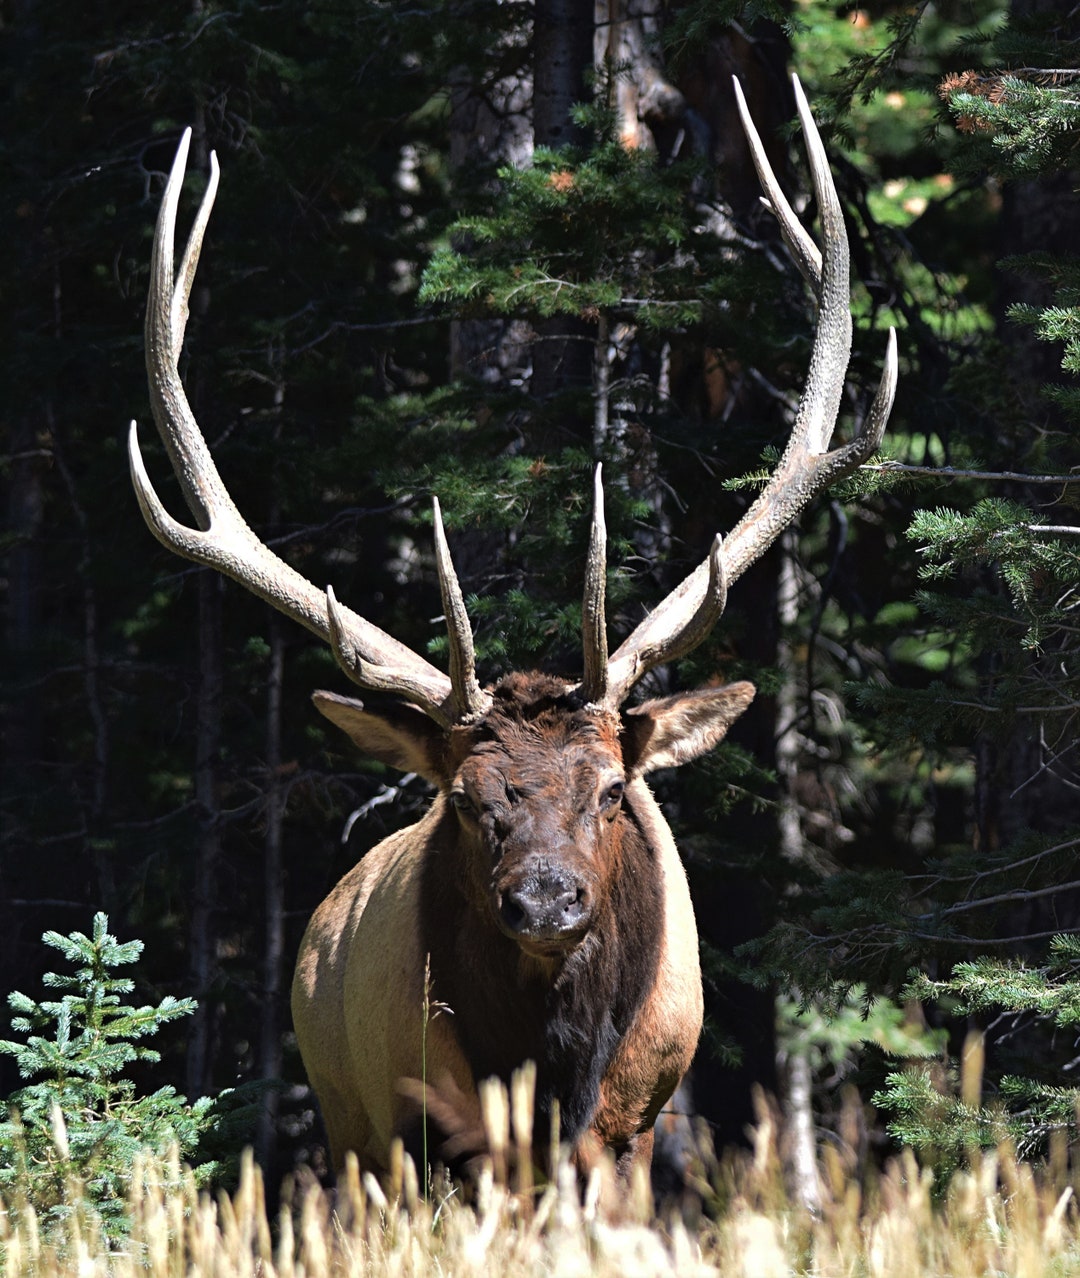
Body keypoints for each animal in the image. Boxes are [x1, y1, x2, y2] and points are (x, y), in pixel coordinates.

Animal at [128, 75, 897, 1181]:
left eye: (614, 790)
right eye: (462, 798)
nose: (544, 903)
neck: (552, 1072)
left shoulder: (635, 1121)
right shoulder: (433, 1128)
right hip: (351, 1123)